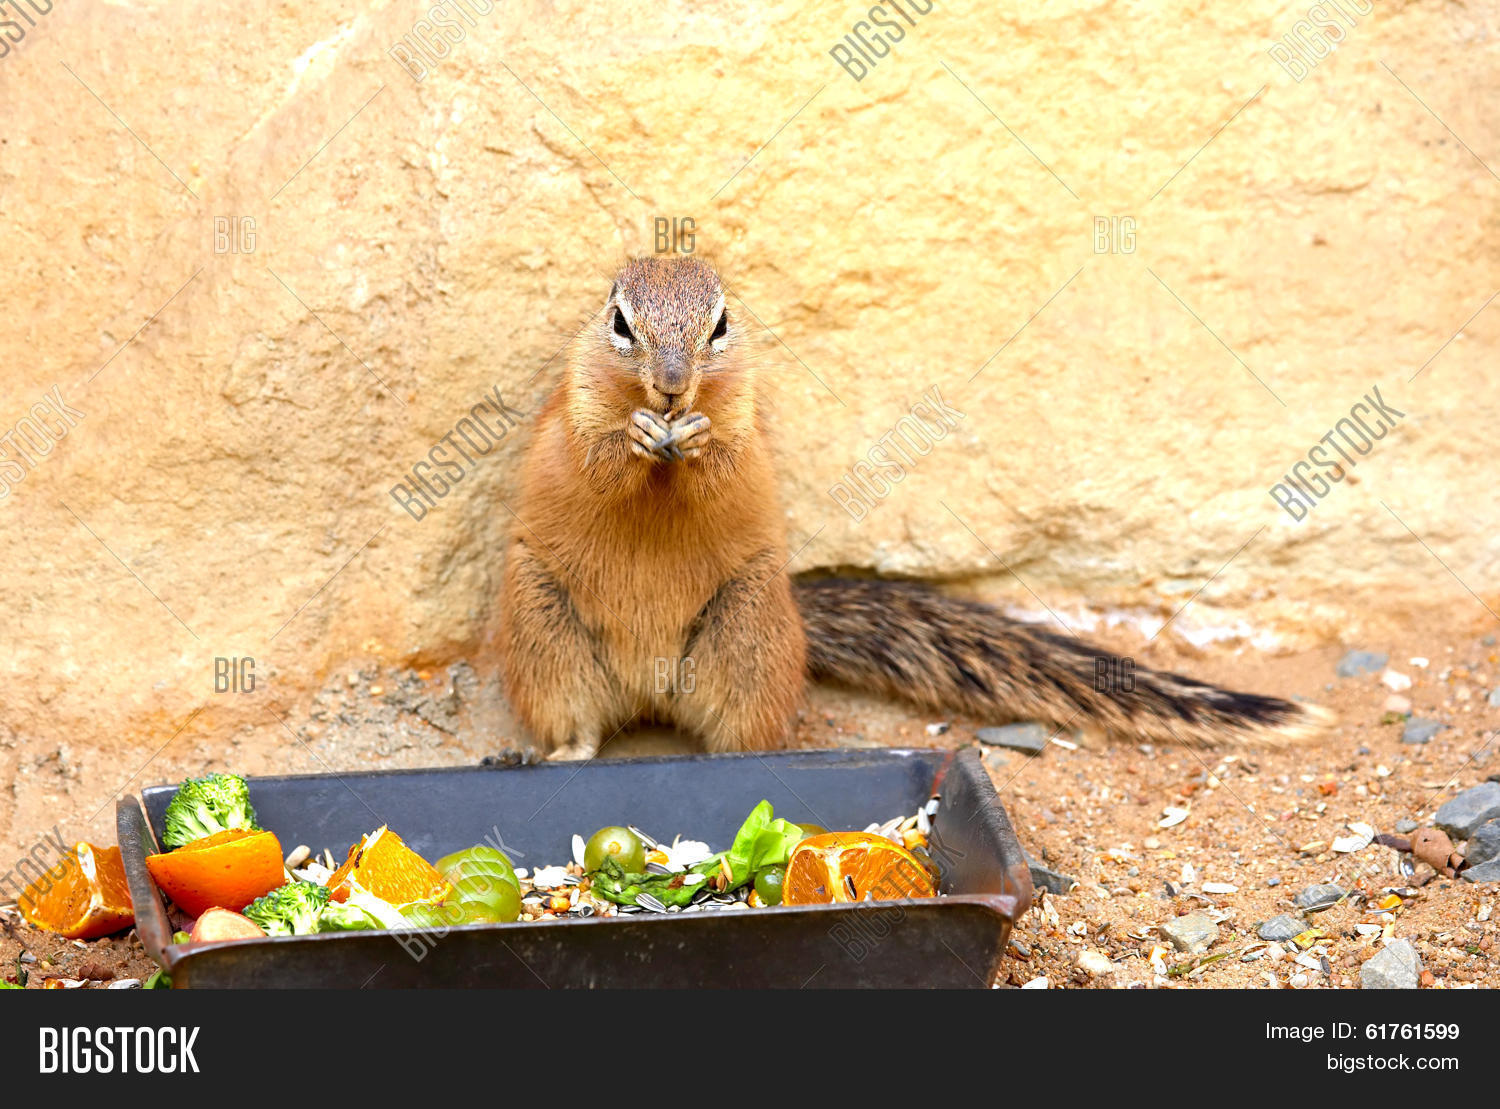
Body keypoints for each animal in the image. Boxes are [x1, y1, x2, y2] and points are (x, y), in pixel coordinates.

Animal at [500, 256, 1335, 760]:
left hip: (749, 631)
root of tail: (648, 685)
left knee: (740, 733)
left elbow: (730, 471)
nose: (673, 387)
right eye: (620, 323)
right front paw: (637, 436)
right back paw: (553, 752)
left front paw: (697, 439)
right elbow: (593, 462)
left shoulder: (750, 429)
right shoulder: (567, 418)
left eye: (721, 323)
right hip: (543, 635)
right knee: (575, 726)